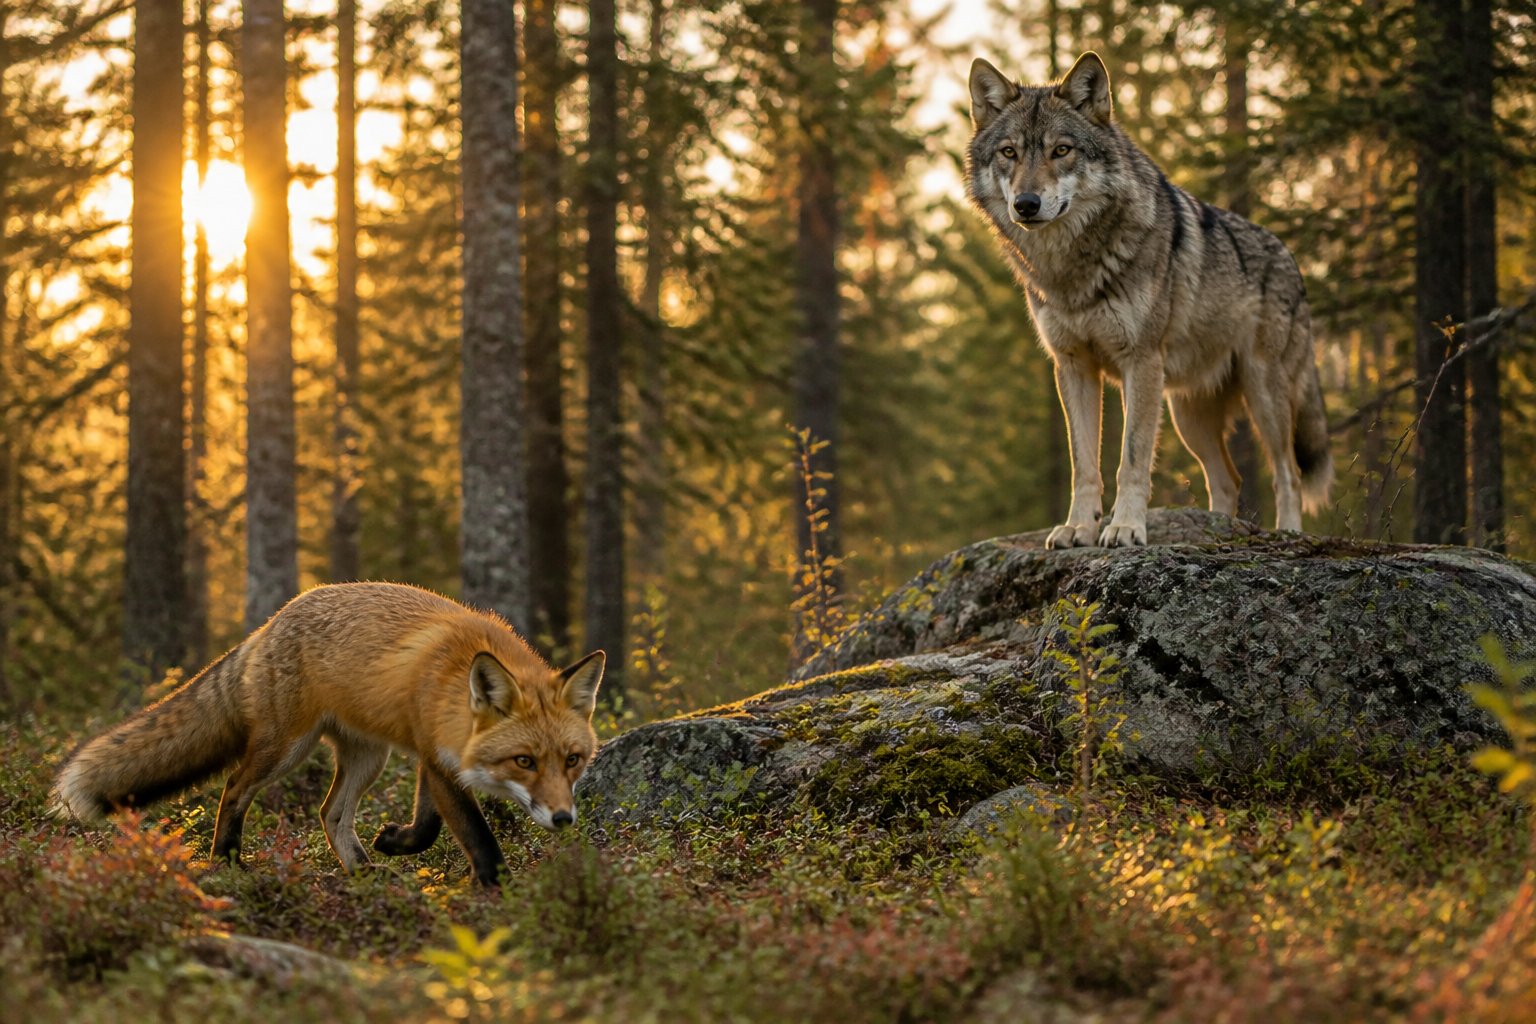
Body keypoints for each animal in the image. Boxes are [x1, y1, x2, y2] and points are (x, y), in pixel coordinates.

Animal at [51, 582, 604, 887]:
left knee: (329, 812)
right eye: (524, 761)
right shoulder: (439, 760)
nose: (563, 819)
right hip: (286, 749)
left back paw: (361, 869)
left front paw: (394, 841)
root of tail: (268, 624)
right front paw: (496, 887)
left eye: (572, 759)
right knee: (234, 788)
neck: (453, 685)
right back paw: (226, 859)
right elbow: (475, 834)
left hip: (369, 758)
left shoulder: (433, 757)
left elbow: (427, 827)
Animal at [966, 51, 1332, 547]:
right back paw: (1215, 532)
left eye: (1062, 150)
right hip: (1186, 414)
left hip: (1262, 396)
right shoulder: (1073, 366)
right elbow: (1084, 464)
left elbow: (1132, 459)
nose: (1026, 204)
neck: (1072, 268)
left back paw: (1289, 535)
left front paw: (1124, 528)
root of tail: (1292, 260)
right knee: (1228, 479)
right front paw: (1078, 528)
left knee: (1288, 473)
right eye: (1010, 153)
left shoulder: (1139, 362)